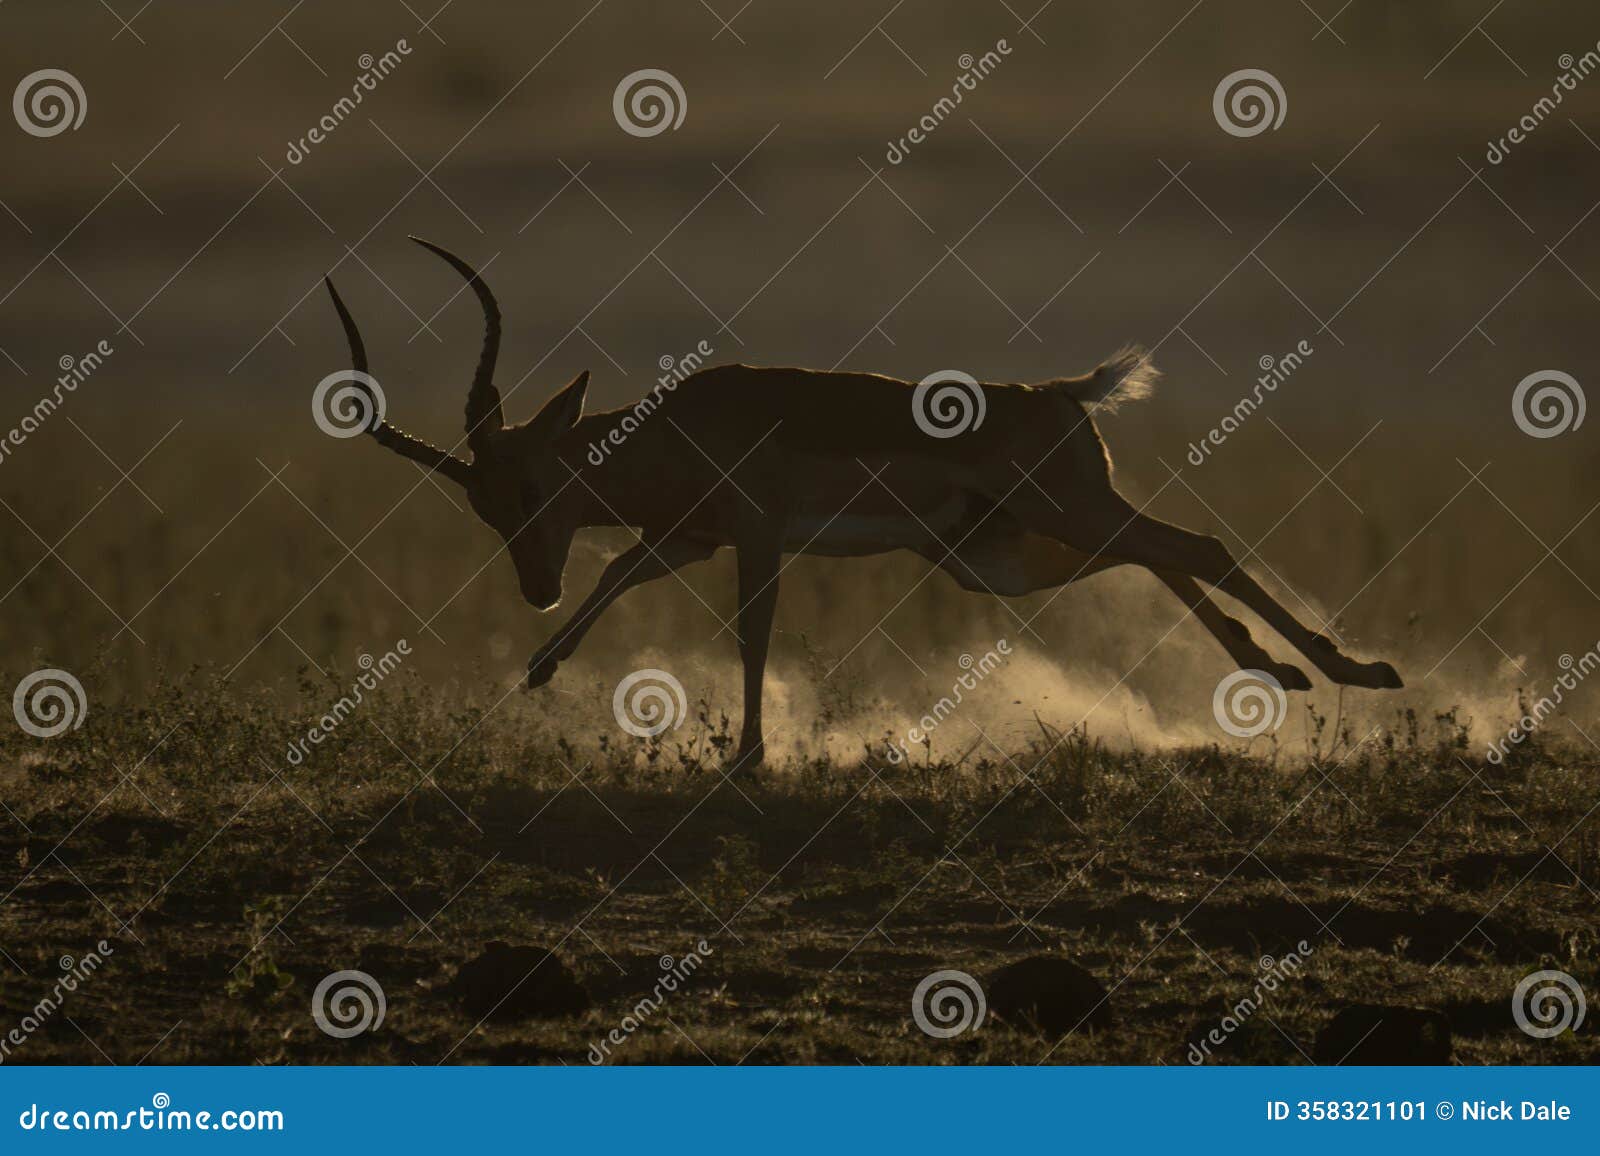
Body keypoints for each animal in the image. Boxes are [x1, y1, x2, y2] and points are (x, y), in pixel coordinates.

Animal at [323, 238, 1403, 768]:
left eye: (530, 484)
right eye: (483, 508)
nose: (533, 588)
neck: (675, 428)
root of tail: (1058, 393)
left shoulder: (756, 537)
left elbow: (751, 631)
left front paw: (750, 756)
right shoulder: (690, 539)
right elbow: (624, 567)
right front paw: (544, 666)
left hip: (1053, 521)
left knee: (1196, 542)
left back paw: (1359, 670)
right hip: (1003, 555)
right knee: (1163, 552)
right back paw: (1283, 673)